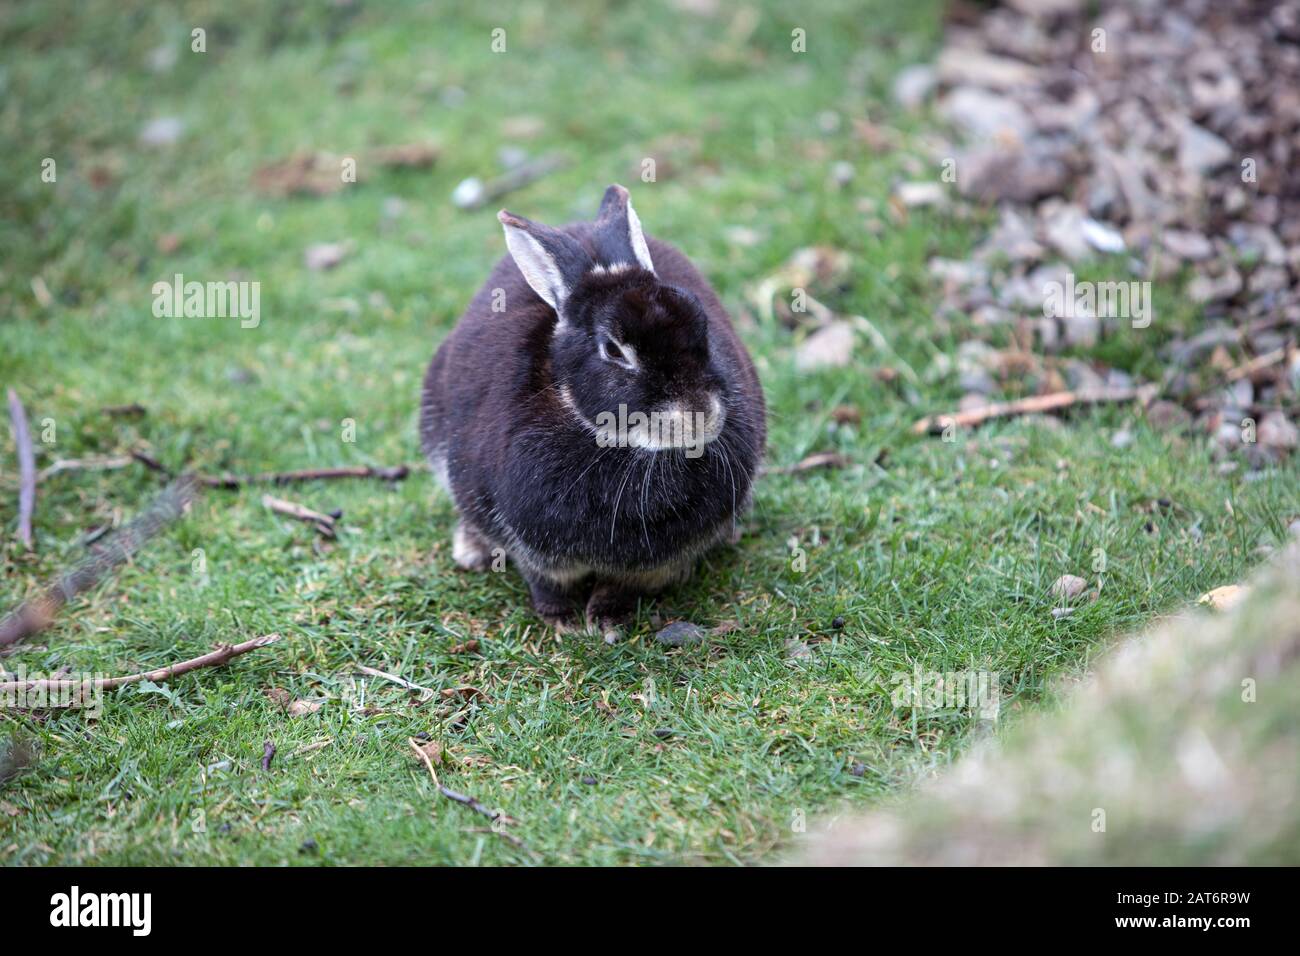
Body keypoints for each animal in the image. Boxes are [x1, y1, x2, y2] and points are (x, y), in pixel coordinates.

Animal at [420, 184, 765, 640]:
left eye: (702, 326)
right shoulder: (531, 548)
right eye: (613, 350)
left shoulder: (648, 566)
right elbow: (543, 582)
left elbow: (621, 587)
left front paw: (606, 619)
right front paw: (561, 620)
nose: (700, 415)